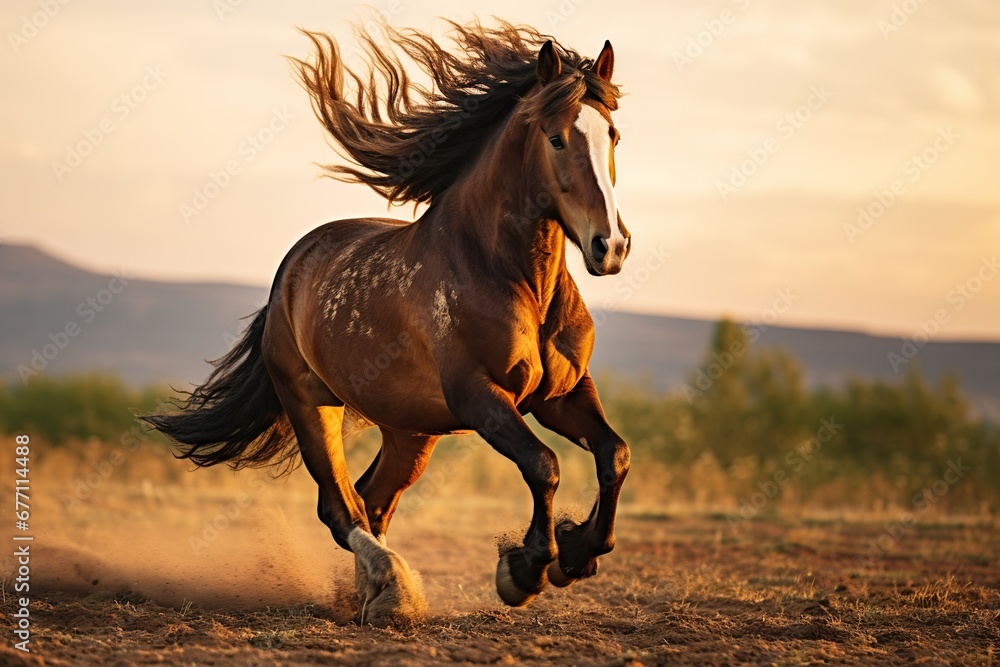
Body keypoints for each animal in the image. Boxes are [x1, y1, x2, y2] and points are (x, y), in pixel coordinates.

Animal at [142, 19, 632, 627]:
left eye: (613, 135)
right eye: (557, 138)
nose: (610, 246)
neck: (510, 275)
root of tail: (291, 270)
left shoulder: (560, 395)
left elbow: (614, 455)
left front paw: (577, 552)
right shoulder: (481, 397)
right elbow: (543, 465)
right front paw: (524, 570)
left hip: (412, 431)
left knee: (372, 500)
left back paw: (368, 596)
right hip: (313, 405)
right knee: (341, 507)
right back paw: (392, 586)